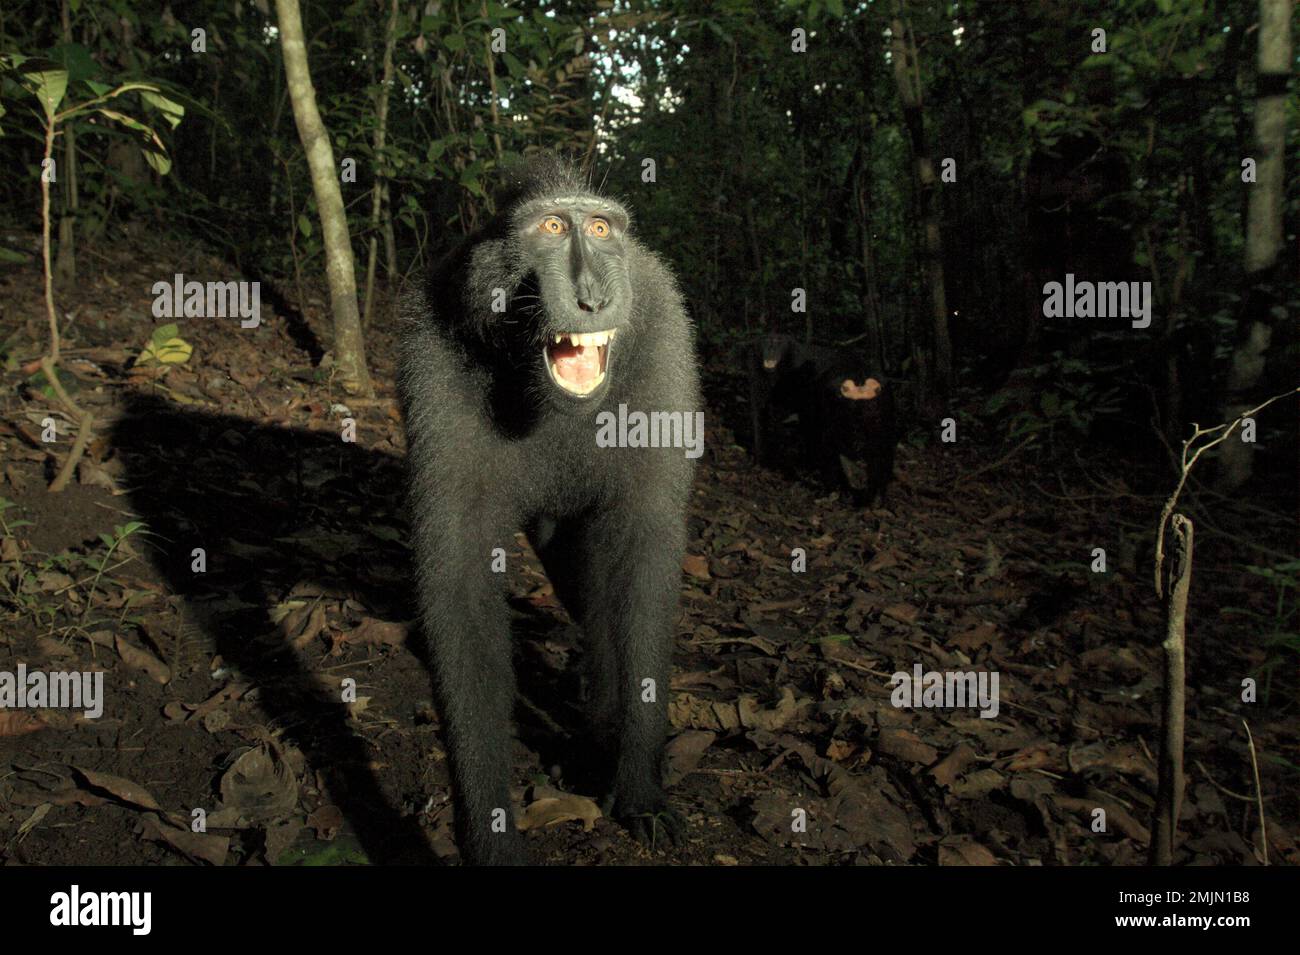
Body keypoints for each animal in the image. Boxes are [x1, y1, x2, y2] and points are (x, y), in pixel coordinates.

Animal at [397, 155, 700, 865]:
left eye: (601, 227)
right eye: (553, 227)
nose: (592, 296)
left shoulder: (665, 342)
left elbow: (642, 553)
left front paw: (639, 785)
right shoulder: (436, 355)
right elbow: (460, 583)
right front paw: (492, 835)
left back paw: (600, 731)